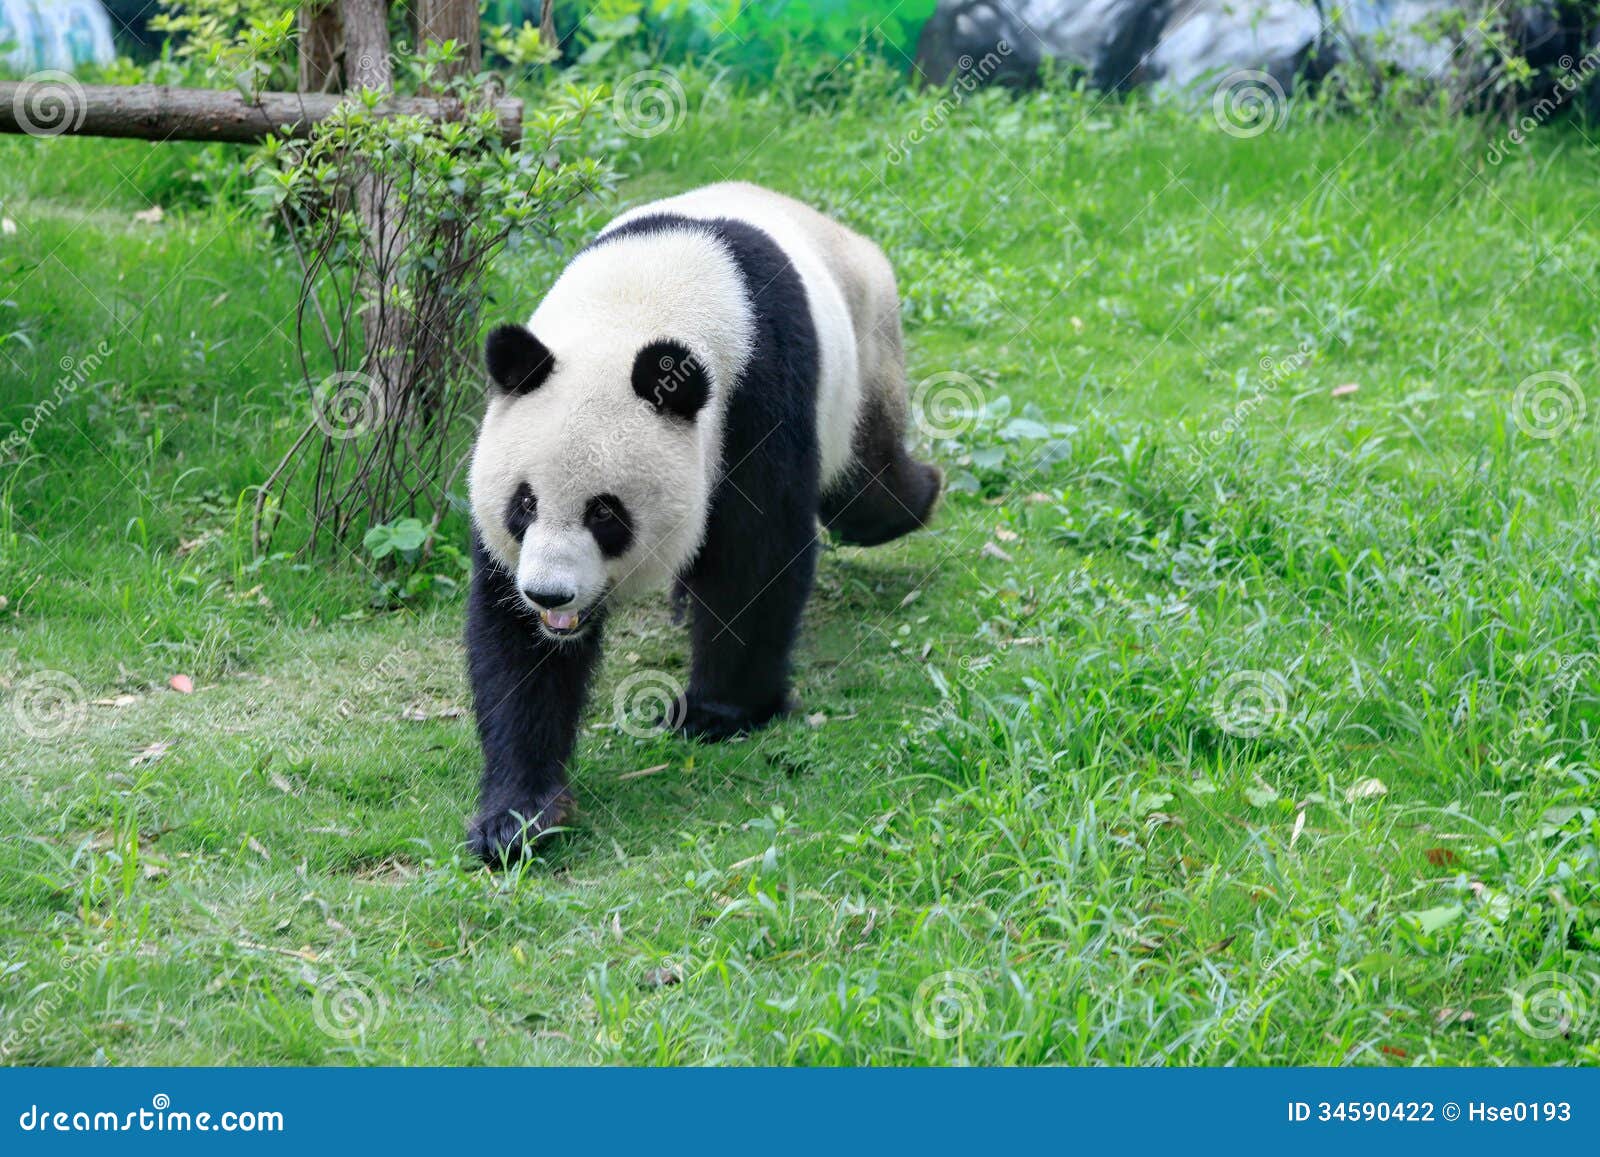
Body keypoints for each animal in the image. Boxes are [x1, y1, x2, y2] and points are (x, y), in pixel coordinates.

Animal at [465, 181, 942, 864]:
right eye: (523, 505)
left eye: (605, 512)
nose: (549, 595)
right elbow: (515, 641)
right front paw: (516, 815)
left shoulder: (756, 392)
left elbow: (756, 555)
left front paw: (718, 712)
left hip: (865, 352)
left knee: (864, 489)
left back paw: (924, 490)